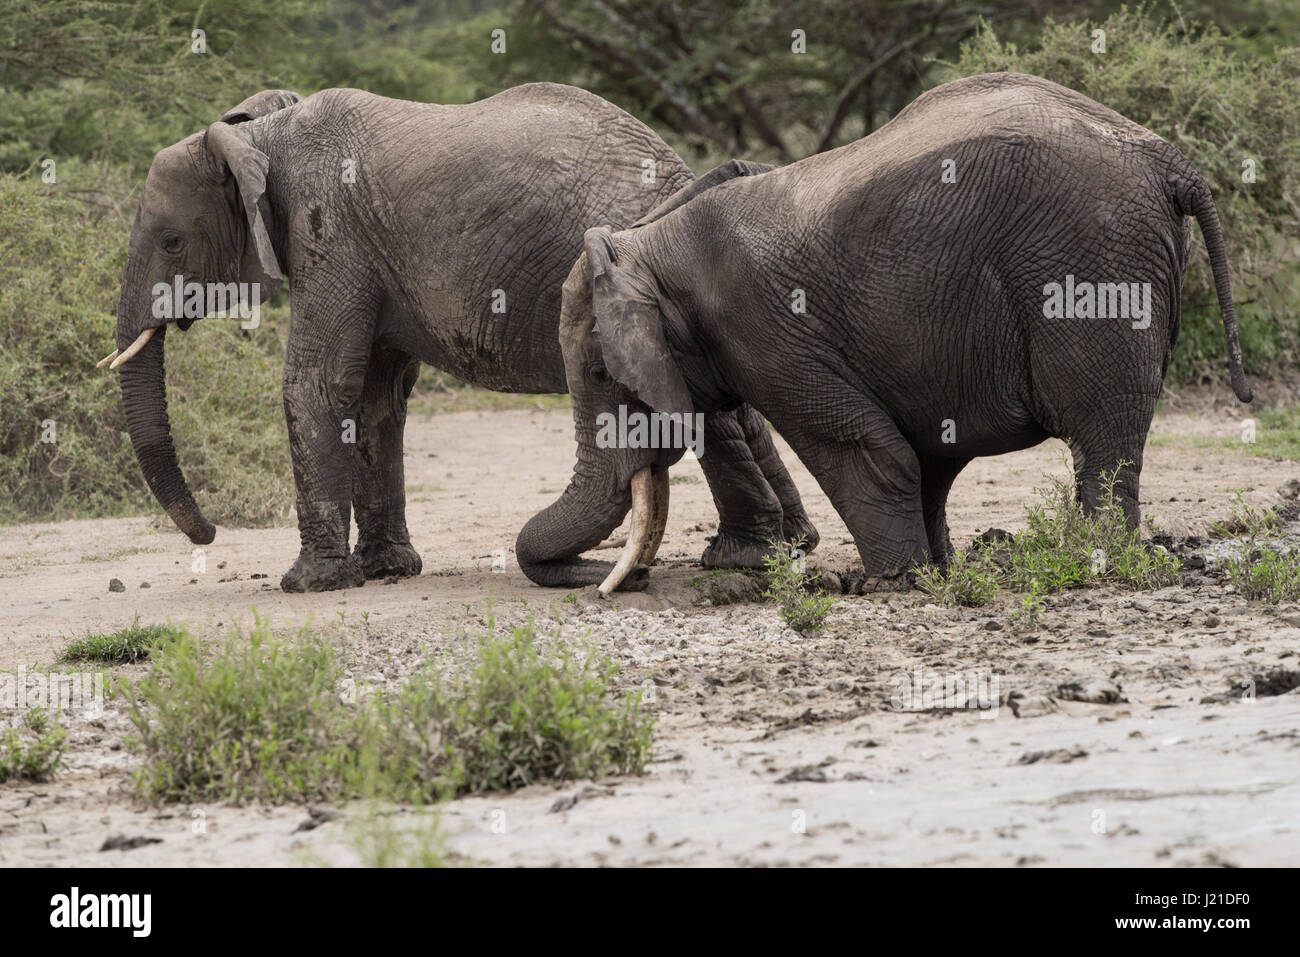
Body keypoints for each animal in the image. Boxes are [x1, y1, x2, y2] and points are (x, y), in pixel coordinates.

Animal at [101, 83, 817, 592]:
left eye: (171, 242)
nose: (209, 537)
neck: (256, 135)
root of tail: (677, 172)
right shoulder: (368, 255)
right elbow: (375, 400)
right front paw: (387, 571)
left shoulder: (329, 233)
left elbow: (318, 382)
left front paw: (310, 584)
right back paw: (784, 549)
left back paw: (740, 559)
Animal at [519, 72, 1253, 593]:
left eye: (602, 374)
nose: (621, 577)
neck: (653, 240)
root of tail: (1165, 157)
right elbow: (923, 455)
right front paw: (932, 572)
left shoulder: (762, 329)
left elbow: (861, 447)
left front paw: (889, 582)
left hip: (1091, 264)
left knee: (1102, 438)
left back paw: (1098, 563)